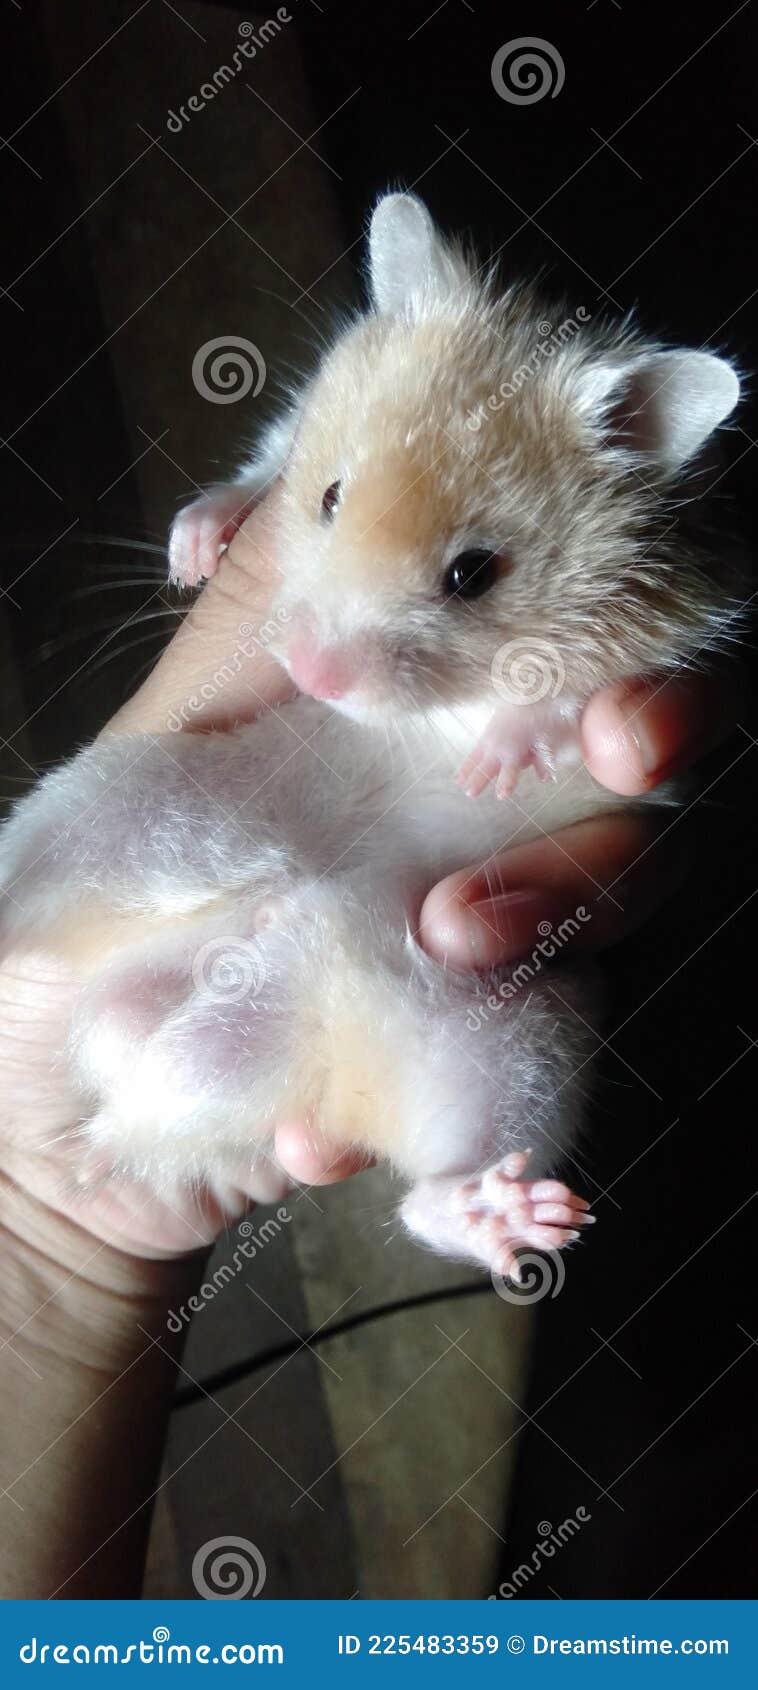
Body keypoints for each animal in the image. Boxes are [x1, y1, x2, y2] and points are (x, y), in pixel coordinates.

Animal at [0, 193, 742, 1280]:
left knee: (430, 1190)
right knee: (33, 881)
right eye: (329, 498)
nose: (312, 674)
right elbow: (259, 463)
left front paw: (496, 761)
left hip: (518, 1042)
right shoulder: (288, 437)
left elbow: (581, 698)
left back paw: (506, 1215)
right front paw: (199, 544)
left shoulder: (685, 648)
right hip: (120, 806)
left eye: (472, 573)